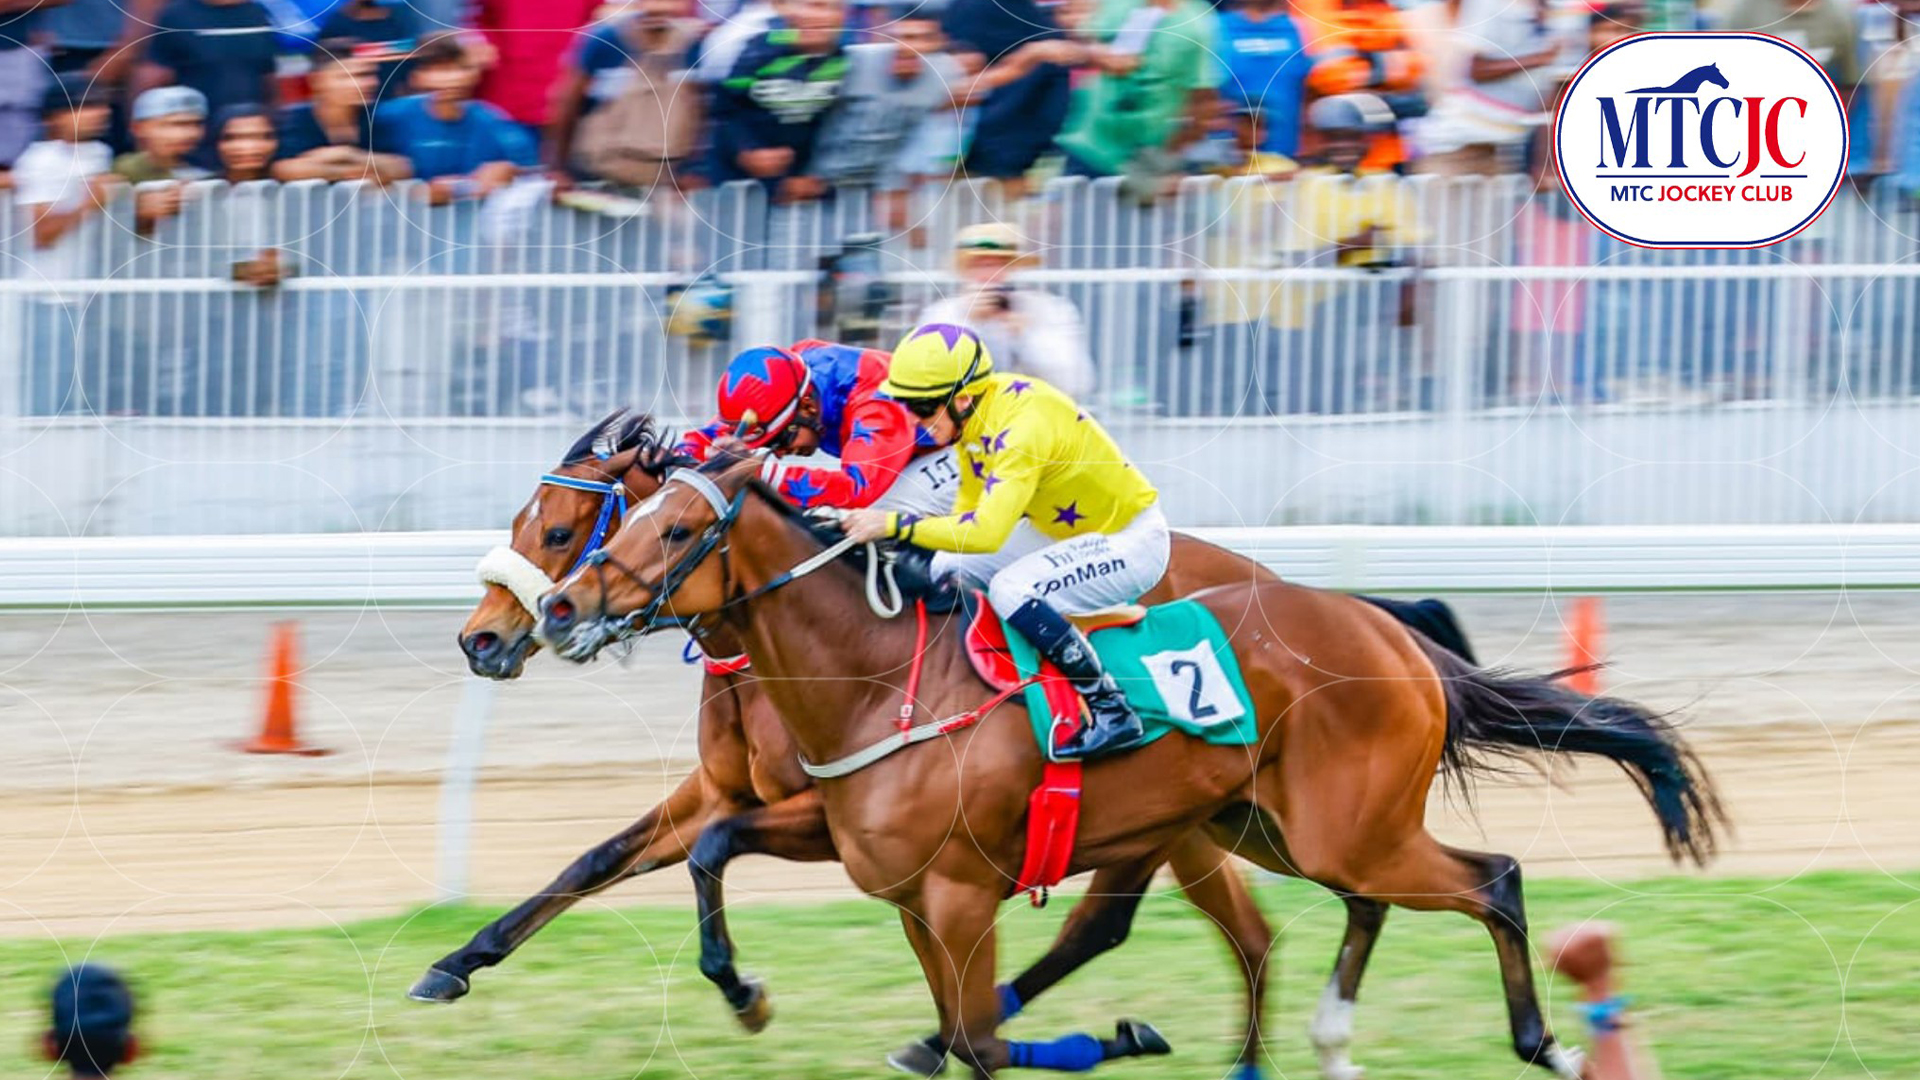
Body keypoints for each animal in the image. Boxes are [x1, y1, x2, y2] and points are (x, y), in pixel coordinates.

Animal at [421, 409, 1484, 1079]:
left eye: (562, 529)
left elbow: (703, 861)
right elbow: (600, 858)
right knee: (1231, 927)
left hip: (1214, 822)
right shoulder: (736, 798)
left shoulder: (814, 818)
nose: (491, 636)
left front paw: (745, 992)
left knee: (1163, 927)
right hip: (1220, 818)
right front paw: (456, 962)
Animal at [535, 455, 1725, 1079]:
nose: (556, 608)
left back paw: (1547, 1046)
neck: (878, 679)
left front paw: (1118, 1031)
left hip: (1341, 828)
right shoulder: (894, 879)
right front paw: (744, 990)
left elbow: (982, 1037)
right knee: (1350, 909)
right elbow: (718, 848)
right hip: (1272, 826)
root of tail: (1387, 631)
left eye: (675, 528)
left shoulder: (959, 892)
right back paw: (1324, 1043)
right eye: (614, 519)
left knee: (1494, 880)